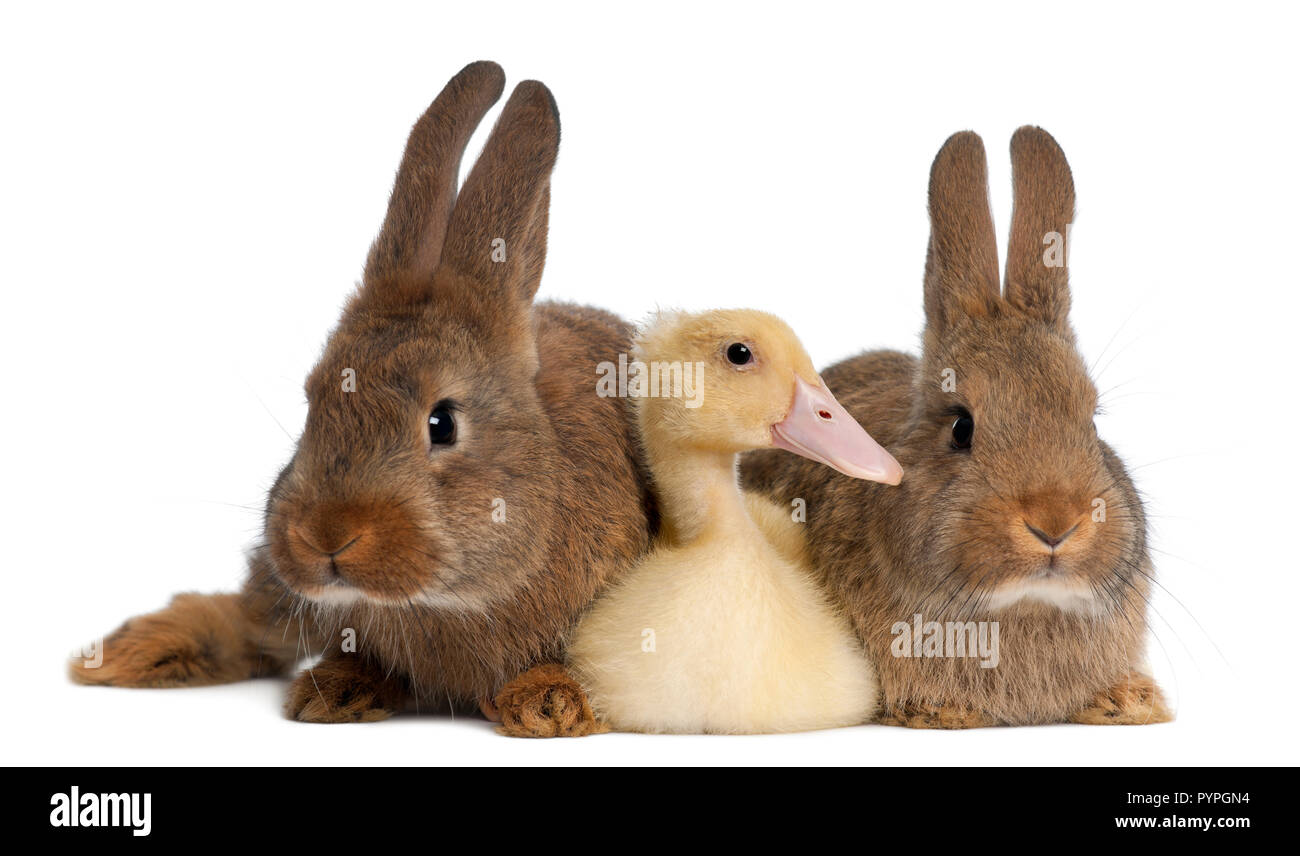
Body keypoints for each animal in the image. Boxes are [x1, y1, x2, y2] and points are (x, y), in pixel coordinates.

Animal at [69, 61, 655, 737]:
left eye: (442, 423)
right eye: (311, 404)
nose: (326, 535)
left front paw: (548, 705)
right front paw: (336, 692)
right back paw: (126, 653)